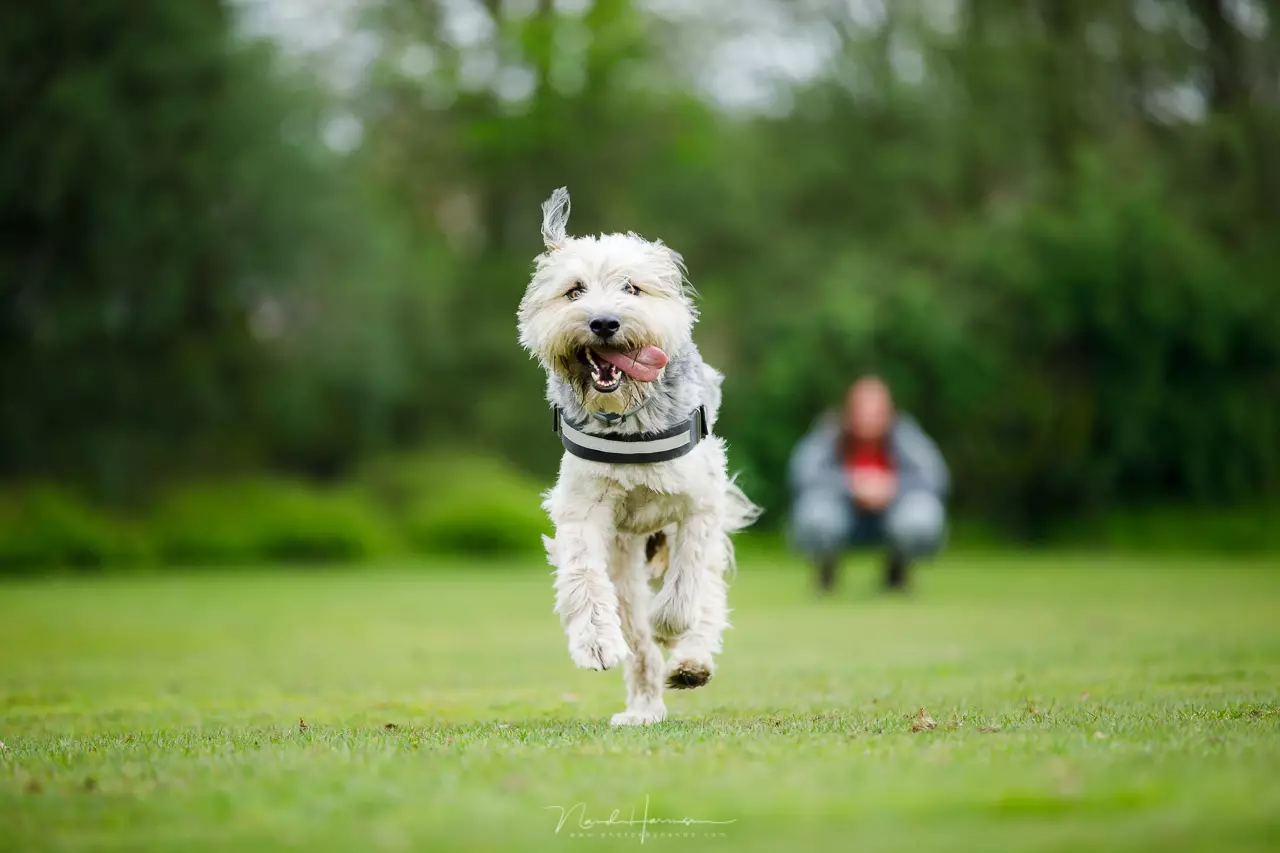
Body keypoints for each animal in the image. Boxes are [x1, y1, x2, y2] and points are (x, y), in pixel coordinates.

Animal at [517, 188, 757, 722]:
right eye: (575, 291)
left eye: (632, 288)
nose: (604, 321)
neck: (627, 417)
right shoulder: (582, 506)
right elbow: (583, 574)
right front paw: (595, 644)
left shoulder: (701, 502)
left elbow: (688, 577)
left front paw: (671, 622)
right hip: (625, 561)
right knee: (638, 639)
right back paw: (644, 708)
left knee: (707, 598)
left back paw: (691, 662)